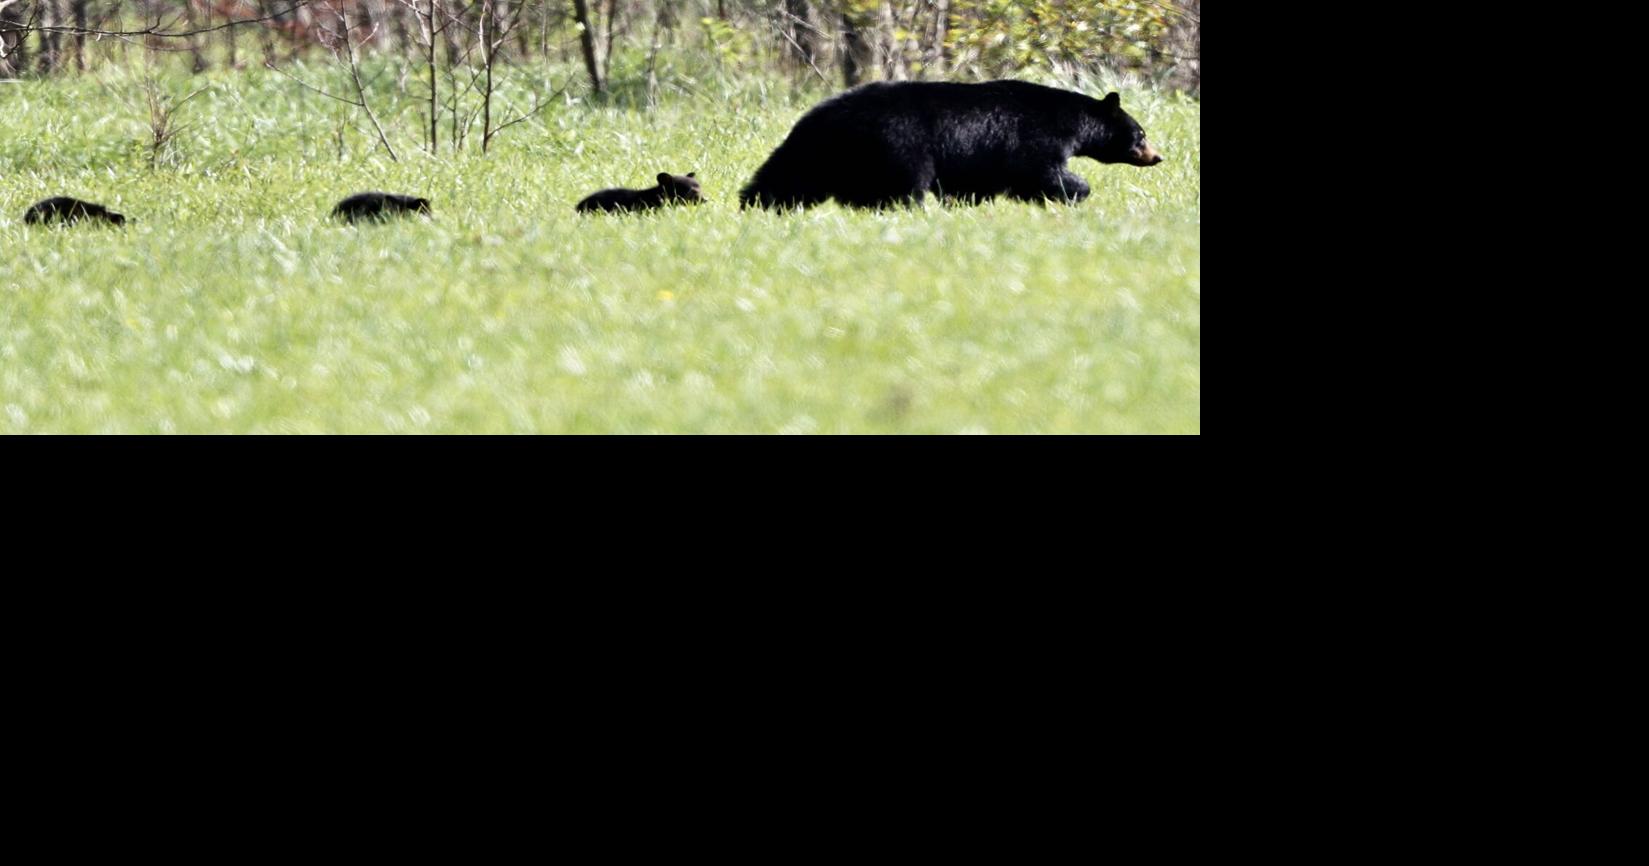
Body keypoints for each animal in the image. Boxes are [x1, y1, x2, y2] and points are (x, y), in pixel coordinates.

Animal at [739, 81, 1163, 210]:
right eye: (1140, 134)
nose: (1157, 156)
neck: (1071, 122)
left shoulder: (980, 156)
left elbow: (973, 183)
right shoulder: (1033, 137)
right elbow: (1038, 170)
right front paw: (1076, 191)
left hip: (818, 153)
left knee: (786, 177)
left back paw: (758, 203)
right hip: (898, 145)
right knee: (904, 184)